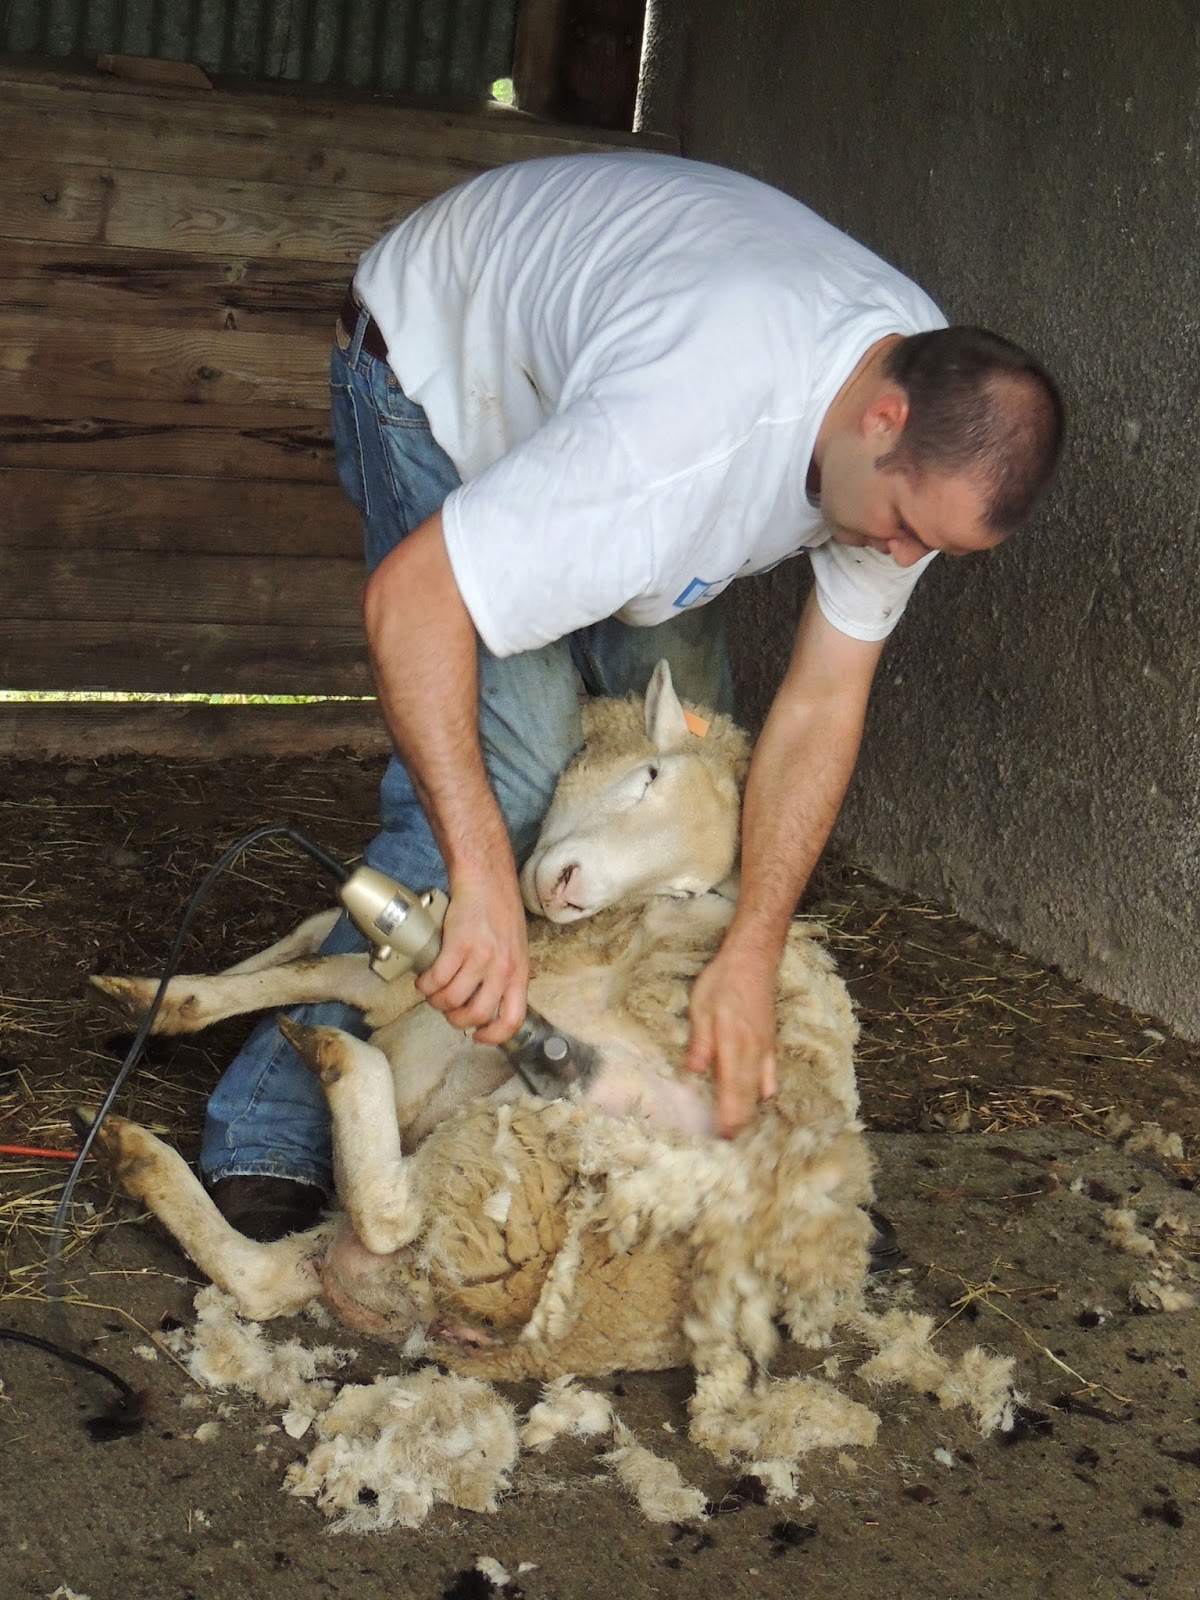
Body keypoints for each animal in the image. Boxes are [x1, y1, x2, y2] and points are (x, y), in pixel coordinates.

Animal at [91, 660, 877, 1466]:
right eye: (648, 776)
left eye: (687, 891)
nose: (569, 892)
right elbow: (309, 938)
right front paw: (154, 1005)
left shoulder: (427, 980)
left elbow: (319, 967)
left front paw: (175, 1001)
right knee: (270, 1278)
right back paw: (138, 1154)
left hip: (530, 1142)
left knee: (382, 1209)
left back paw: (334, 1057)